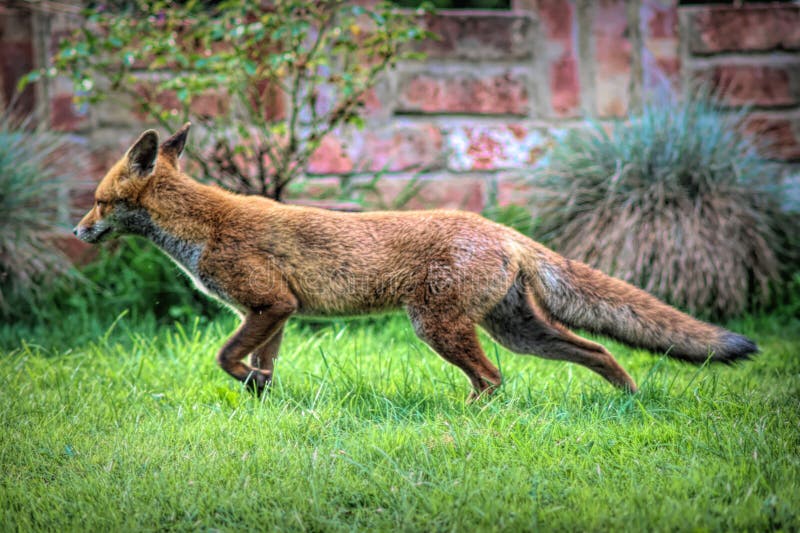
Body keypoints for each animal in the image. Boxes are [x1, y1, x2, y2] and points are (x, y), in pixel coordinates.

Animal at [74, 123, 757, 399]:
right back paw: (630, 401)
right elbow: (261, 367)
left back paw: (465, 420)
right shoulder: (276, 314)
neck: (203, 228)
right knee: (596, 351)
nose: (76, 230)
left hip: (438, 326)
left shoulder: (269, 303)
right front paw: (262, 399)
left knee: (493, 382)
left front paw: (247, 385)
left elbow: (224, 357)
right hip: (517, 330)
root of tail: (498, 227)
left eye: (99, 201)